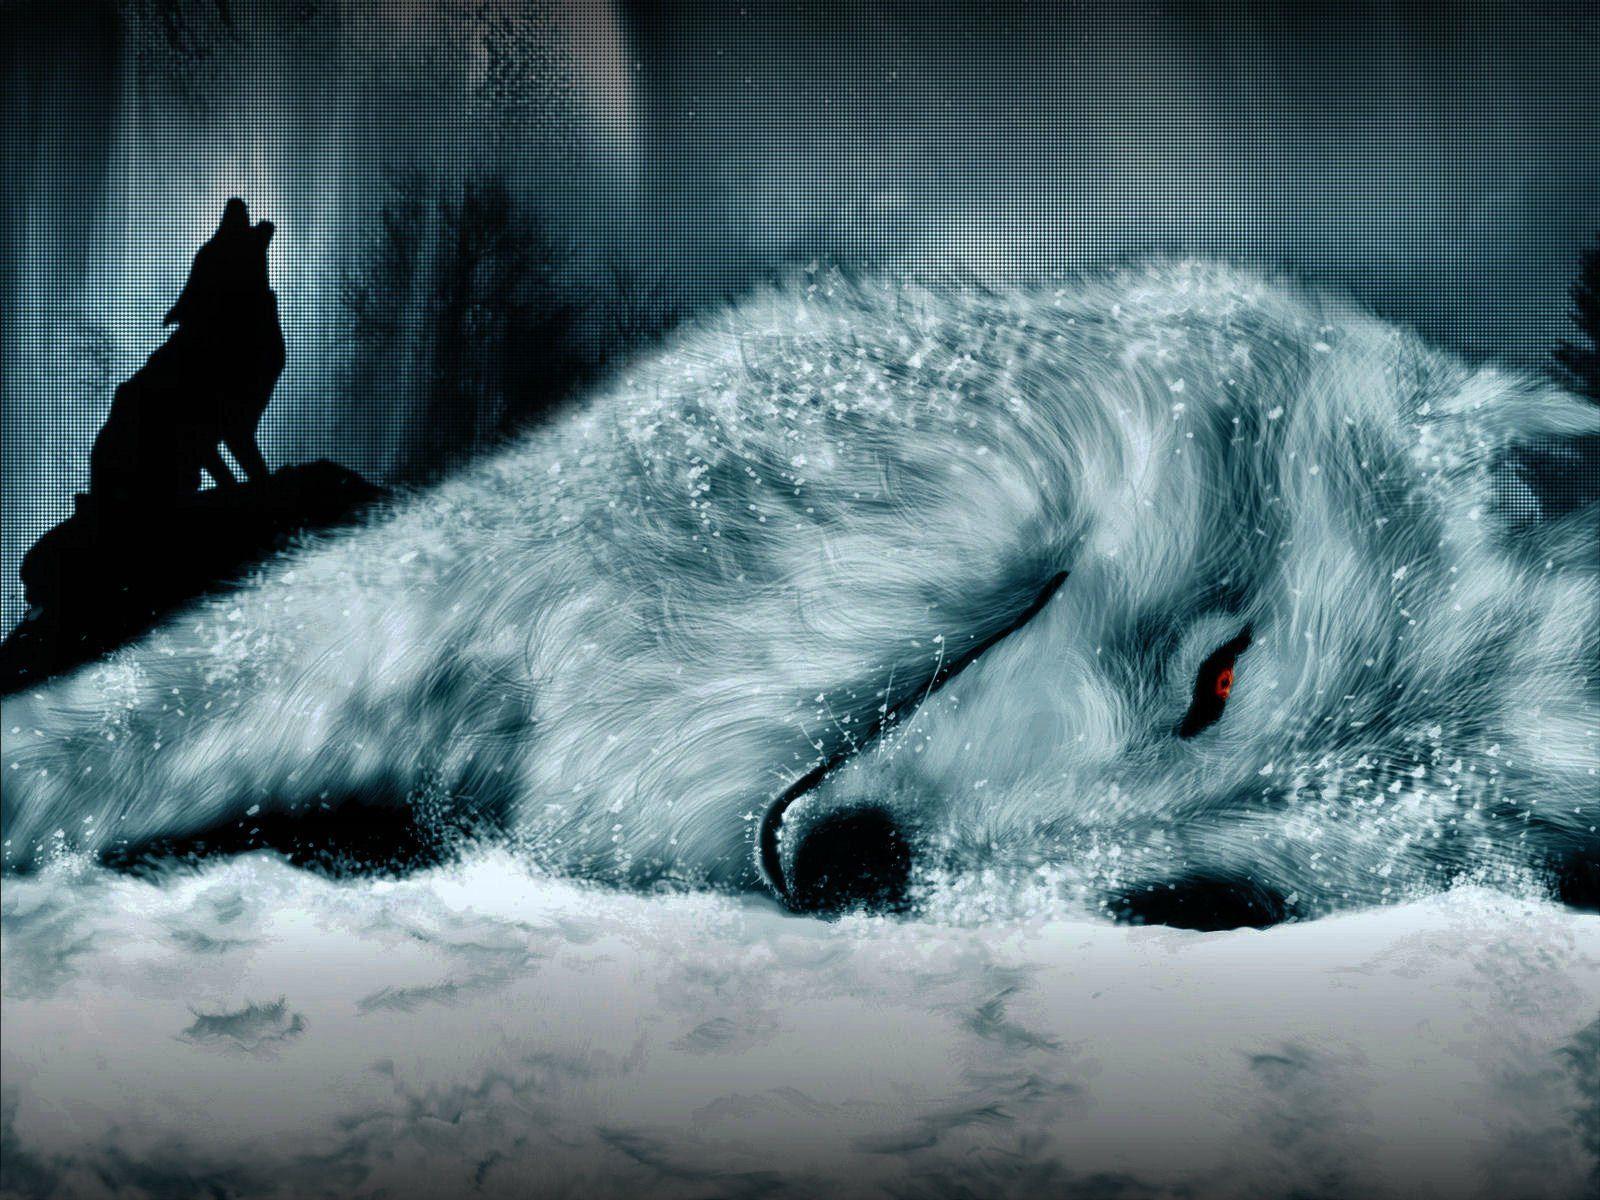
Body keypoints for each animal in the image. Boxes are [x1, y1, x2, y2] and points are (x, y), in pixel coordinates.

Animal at [88, 197, 285, 505]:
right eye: (216, 242)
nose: (233, 201)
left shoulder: (239, 423)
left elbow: (244, 467)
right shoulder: (219, 429)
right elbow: (243, 470)